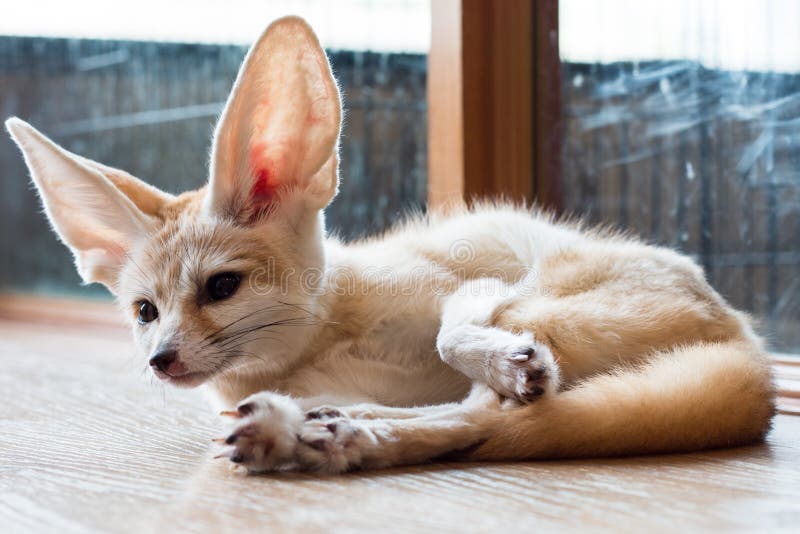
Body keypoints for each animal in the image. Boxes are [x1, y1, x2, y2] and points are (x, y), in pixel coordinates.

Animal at [5, 16, 775, 474]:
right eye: (144, 312)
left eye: (222, 287)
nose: (160, 360)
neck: (325, 344)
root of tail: (751, 348)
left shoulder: (472, 286)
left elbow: (449, 336)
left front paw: (499, 359)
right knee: (479, 420)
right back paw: (317, 434)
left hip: (545, 298)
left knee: (496, 412)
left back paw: (340, 432)